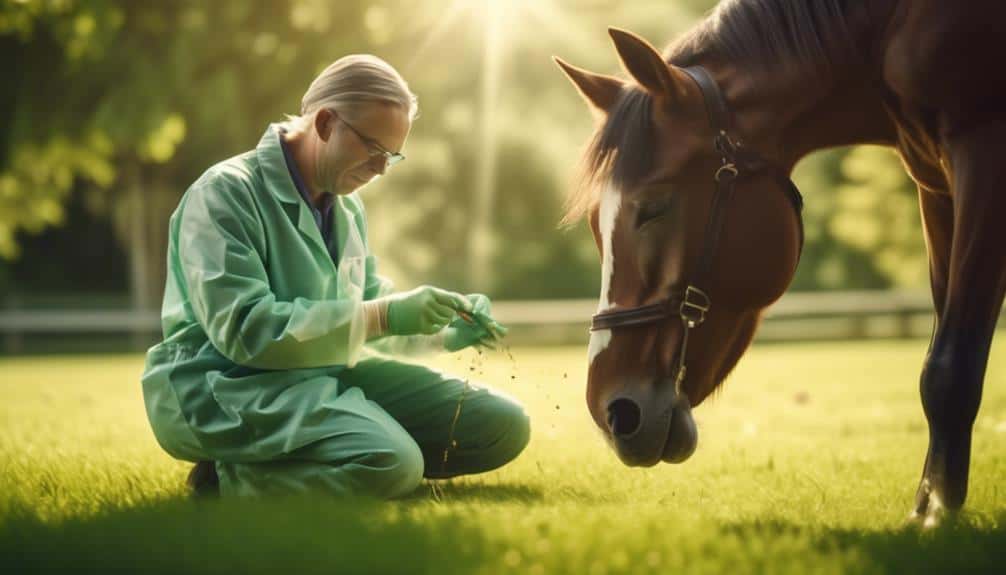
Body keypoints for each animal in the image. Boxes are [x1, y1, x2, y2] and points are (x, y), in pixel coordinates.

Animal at [555, 0, 1006, 524]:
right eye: (594, 223)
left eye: (652, 208)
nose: (611, 411)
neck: (887, 30)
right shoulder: (935, 186)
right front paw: (930, 502)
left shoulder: (983, 152)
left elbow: (951, 368)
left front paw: (937, 512)